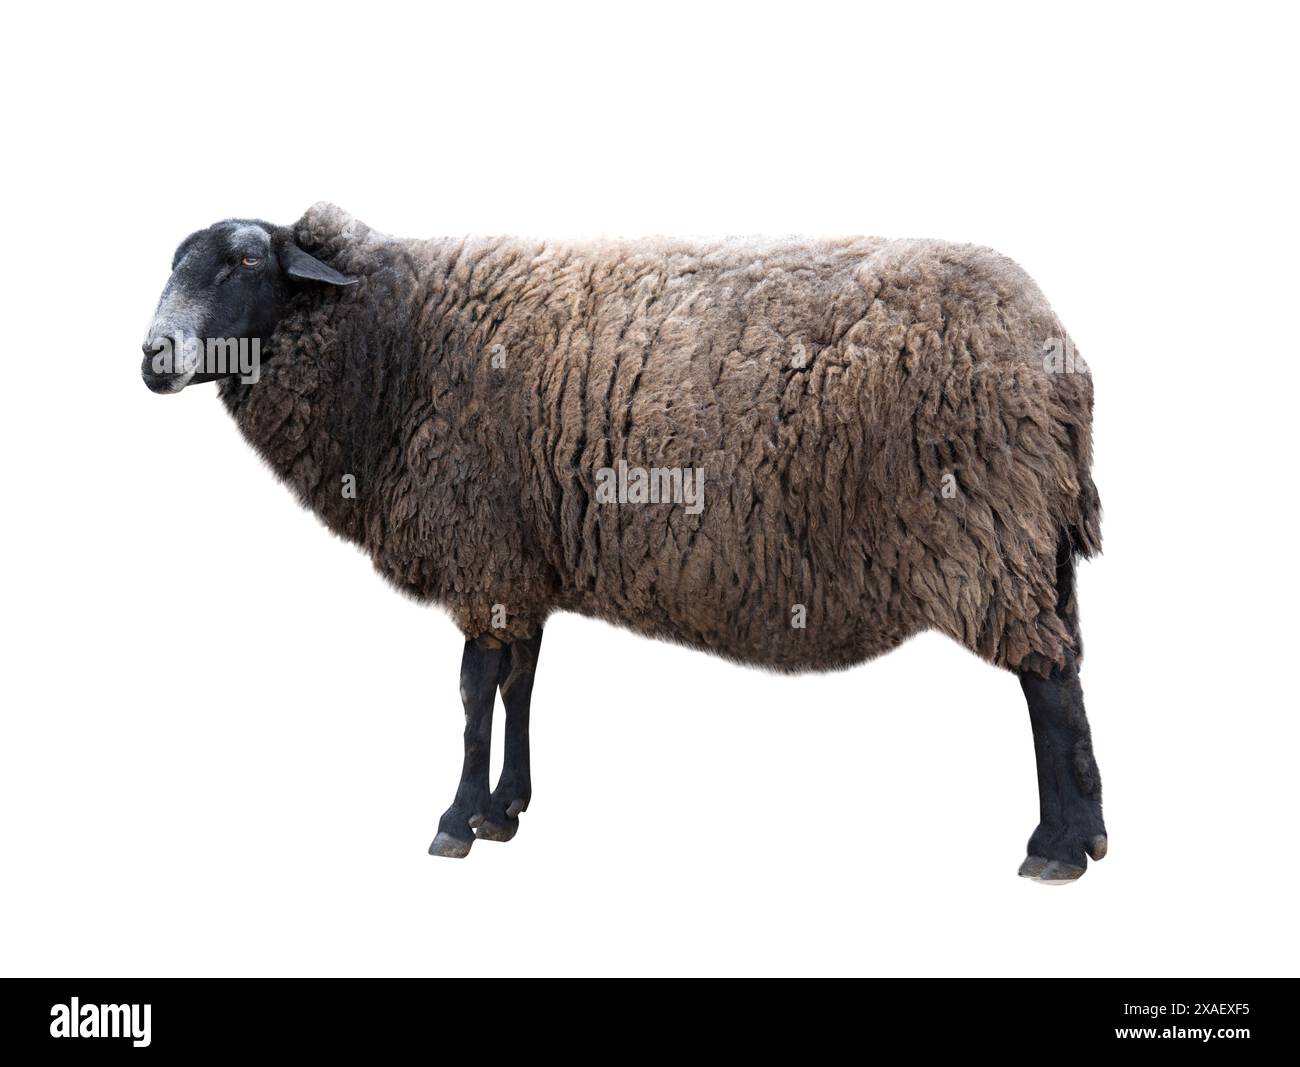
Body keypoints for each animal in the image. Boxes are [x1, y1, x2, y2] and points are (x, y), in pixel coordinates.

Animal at [141, 202, 1106, 882]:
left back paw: (1054, 846)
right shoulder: (519, 560)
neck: (395, 343)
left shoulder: (481, 550)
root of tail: (1058, 354)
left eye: (245, 261)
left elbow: (472, 695)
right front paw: (506, 809)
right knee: (1066, 664)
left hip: (991, 531)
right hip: (1036, 540)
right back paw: (1088, 832)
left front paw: (456, 820)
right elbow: (520, 685)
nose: (153, 355)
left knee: (1047, 682)